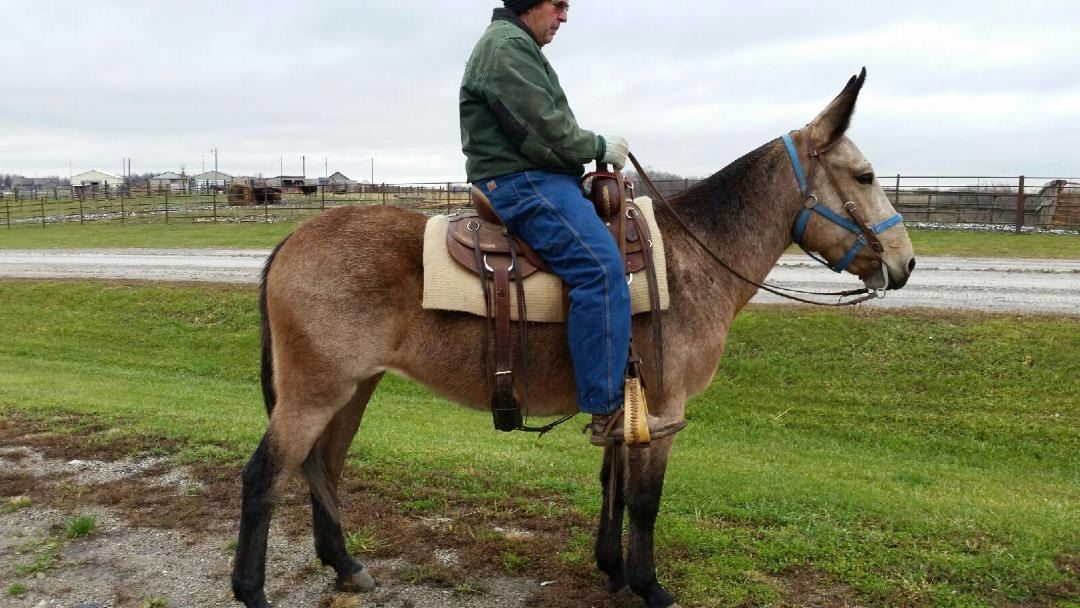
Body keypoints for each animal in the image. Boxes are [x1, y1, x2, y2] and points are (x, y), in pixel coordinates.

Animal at [231, 68, 916, 608]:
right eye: (864, 175)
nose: (905, 263)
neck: (693, 259)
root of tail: (291, 241)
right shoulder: (664, 409)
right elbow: (644, 500)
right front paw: (649, 585)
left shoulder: (626, 400)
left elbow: (613, 480)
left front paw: (612, 569)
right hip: (315, 393)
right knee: (265, 475)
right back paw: (252, 589)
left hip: (353, 389)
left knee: (323, 465)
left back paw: (346, 567)